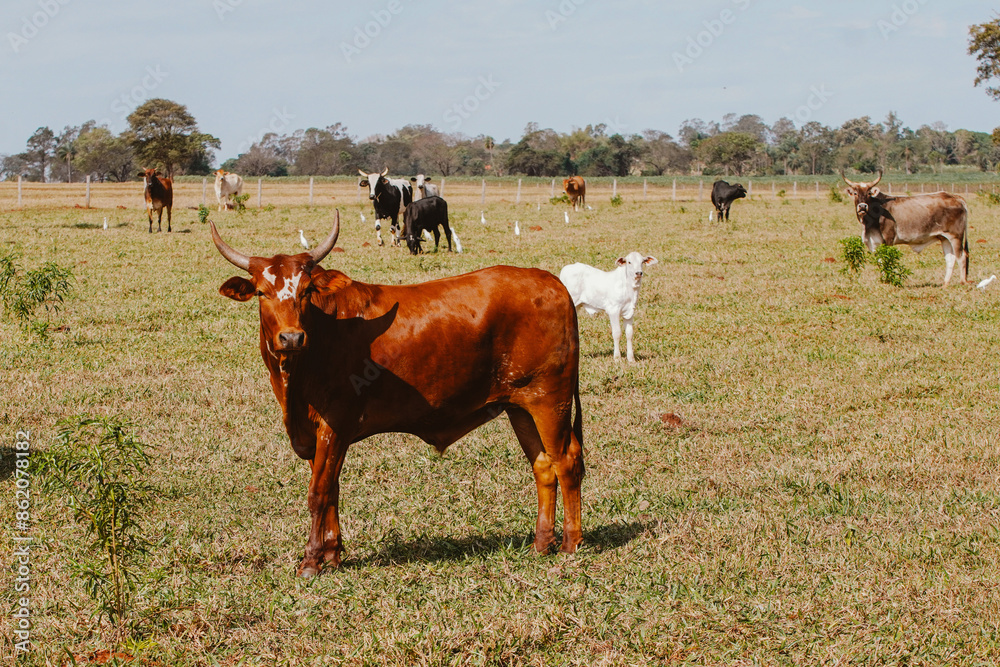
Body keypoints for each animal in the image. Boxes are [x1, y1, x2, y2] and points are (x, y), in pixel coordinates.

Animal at [211, 212, 585, 577]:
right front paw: (332, 554)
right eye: (261, 292)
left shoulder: (335, 425)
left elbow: (319, 492)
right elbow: (332, 488)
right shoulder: (319, 433)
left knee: (565, 462)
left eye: (305, 291)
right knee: (543, 467)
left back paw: (570, 544)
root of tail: (552, 283)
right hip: (520, 406)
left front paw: (311, 560)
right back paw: (541, 543)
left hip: (550, 400)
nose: (291, 337)